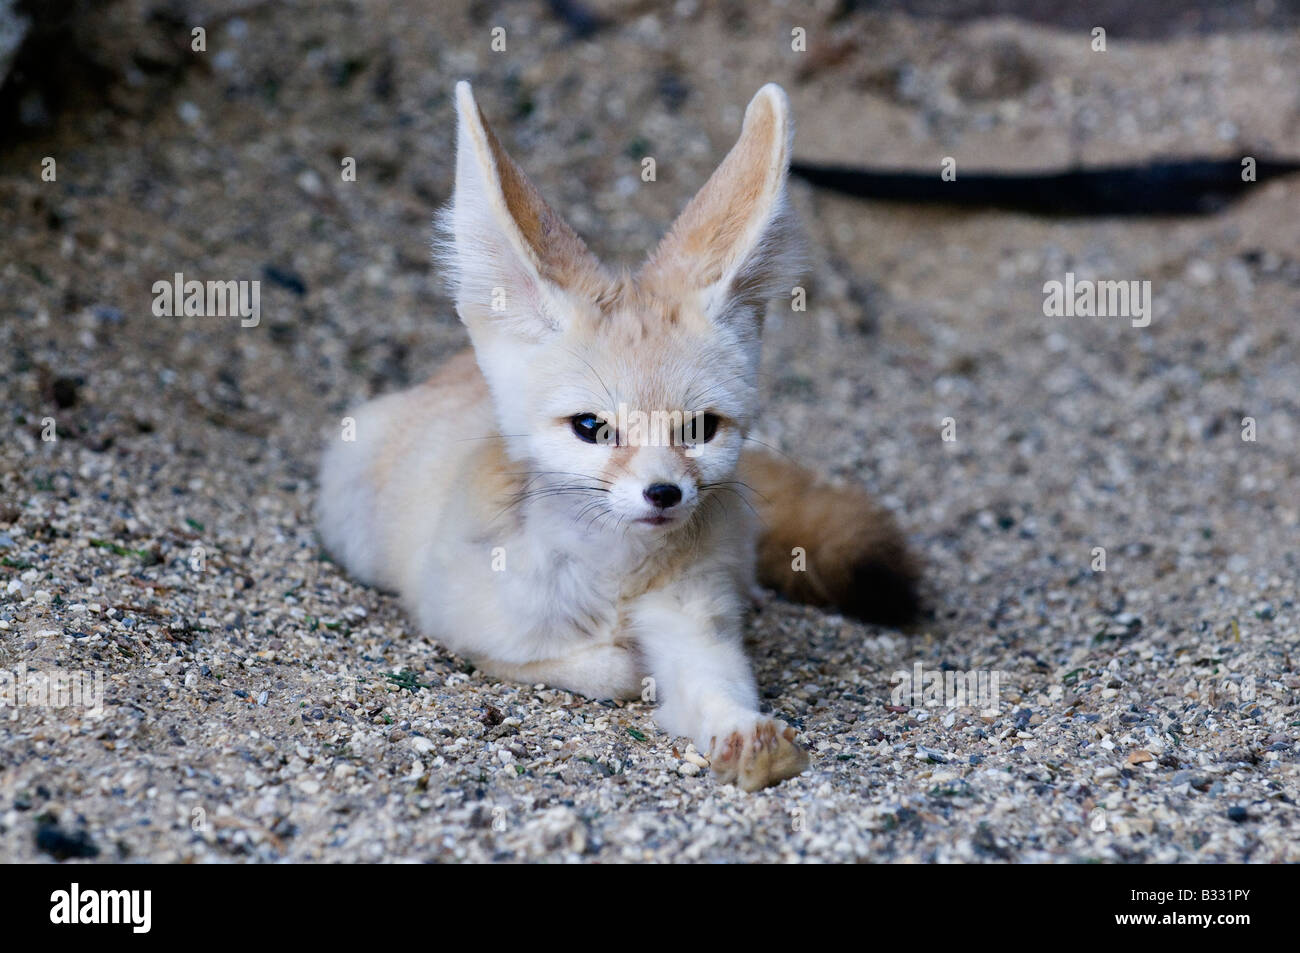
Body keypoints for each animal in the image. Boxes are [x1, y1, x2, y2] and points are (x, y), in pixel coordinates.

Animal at [317, 81, 919, 791]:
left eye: (700, 428)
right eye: (592, 428)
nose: (664, 494)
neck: (617, 582)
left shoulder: (697, 625)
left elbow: (716, 687)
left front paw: (744, 735)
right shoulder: (461, 623)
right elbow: (599, 666)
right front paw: (624, 662)